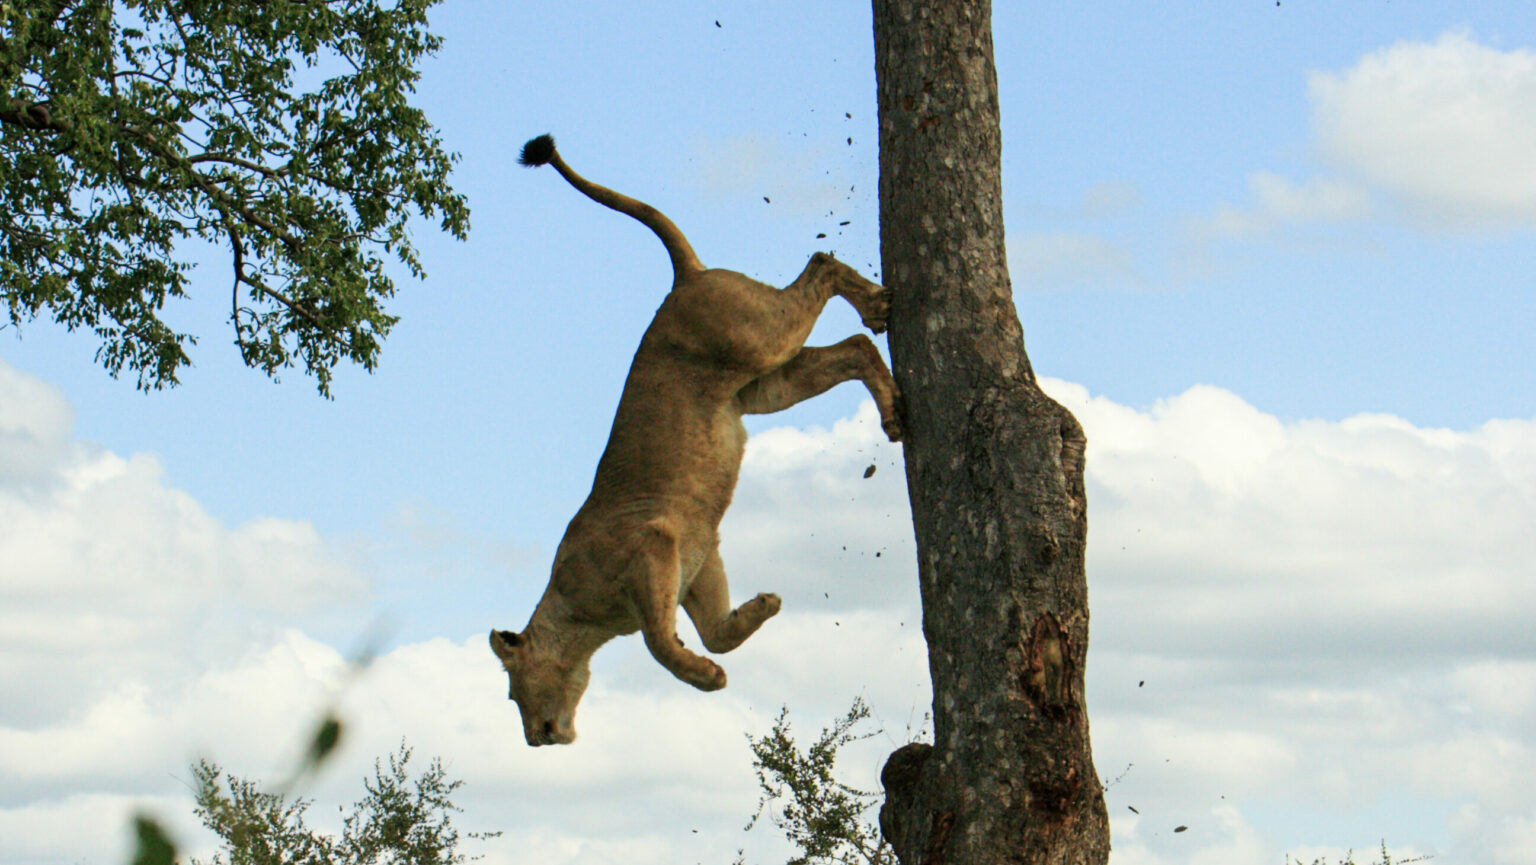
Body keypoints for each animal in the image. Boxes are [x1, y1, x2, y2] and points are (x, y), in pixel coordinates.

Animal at [491, 135, 901, 746]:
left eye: (515, 694)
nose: (534, 738)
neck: (580, 622)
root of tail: (685, 277)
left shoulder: (652, 545)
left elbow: (659, 642)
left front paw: (705, 677)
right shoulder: (698, 558)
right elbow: (717, 633)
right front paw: (764, 606)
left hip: (758, 336)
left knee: (821, 266)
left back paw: (876, 306)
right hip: (767, 383)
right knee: (853, 348)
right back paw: (893, 406)